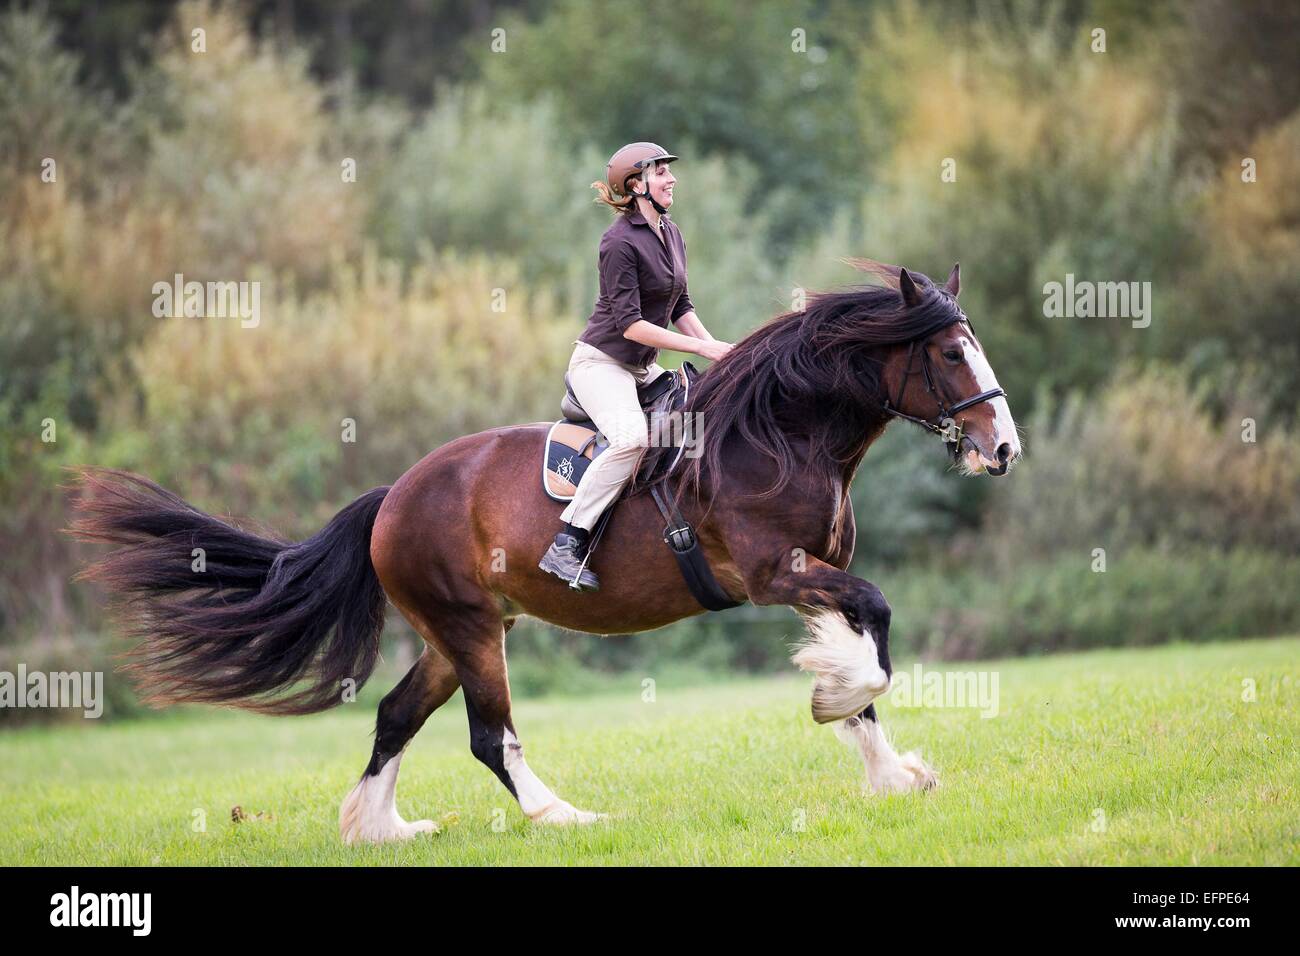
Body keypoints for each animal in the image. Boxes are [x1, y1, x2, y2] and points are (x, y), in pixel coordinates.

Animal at [70, 259, 1020, 844]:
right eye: (949, 351)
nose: (1003, 448)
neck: (782, 433)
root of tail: (392, 498)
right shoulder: (772, 573)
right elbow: (875, 632)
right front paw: (840, 704)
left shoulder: (813, 574)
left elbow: (866, 653)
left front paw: (889, 771)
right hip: (468, 630)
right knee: (491, 738)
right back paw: (565, 817)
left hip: (461, 633)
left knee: (397, 716)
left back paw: (383, 829)